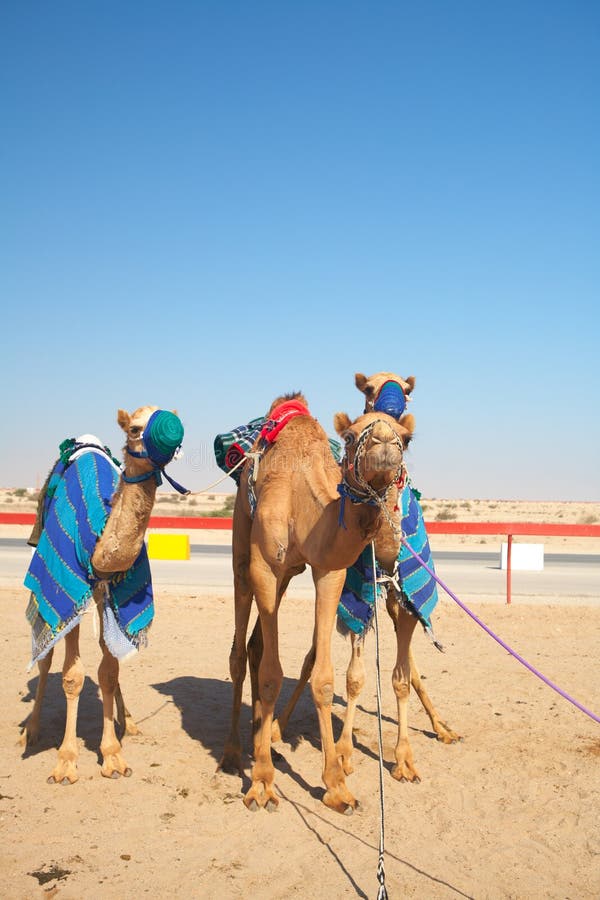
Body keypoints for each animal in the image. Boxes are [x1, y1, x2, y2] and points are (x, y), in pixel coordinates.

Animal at [22, 405, 185, 785]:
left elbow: (109, 671)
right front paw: (66, 762)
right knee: (47, 658)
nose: (172, 437)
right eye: (136, 428)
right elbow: (72, 676)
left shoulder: (111, 590)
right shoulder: (73, 594)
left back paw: (131, 722)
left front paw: (113, 754)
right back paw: (31, 730)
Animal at [218, 391, 414, 814]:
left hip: (288, 574)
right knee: (240, 652)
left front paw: (337, 787)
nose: (385, 443)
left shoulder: (329, 569)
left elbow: (323, 679)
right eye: (353, 434)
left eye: (406, 438)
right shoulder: (264, 566)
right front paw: (261, 784)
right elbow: (272, 676)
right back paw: (232, 753)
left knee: (256, 646)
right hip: (243, 548)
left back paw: (261, 738)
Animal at [271, 372, 460, 783]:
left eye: (406, 437)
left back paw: (443, 728)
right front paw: (342, 753)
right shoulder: (356, 596)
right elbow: (354, 677)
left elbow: (402, 678)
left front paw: (404, 759)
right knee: (313, 655)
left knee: (411, 667)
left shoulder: (403, 601)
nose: (385, 437)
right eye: (351, 434)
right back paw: (277, 727)